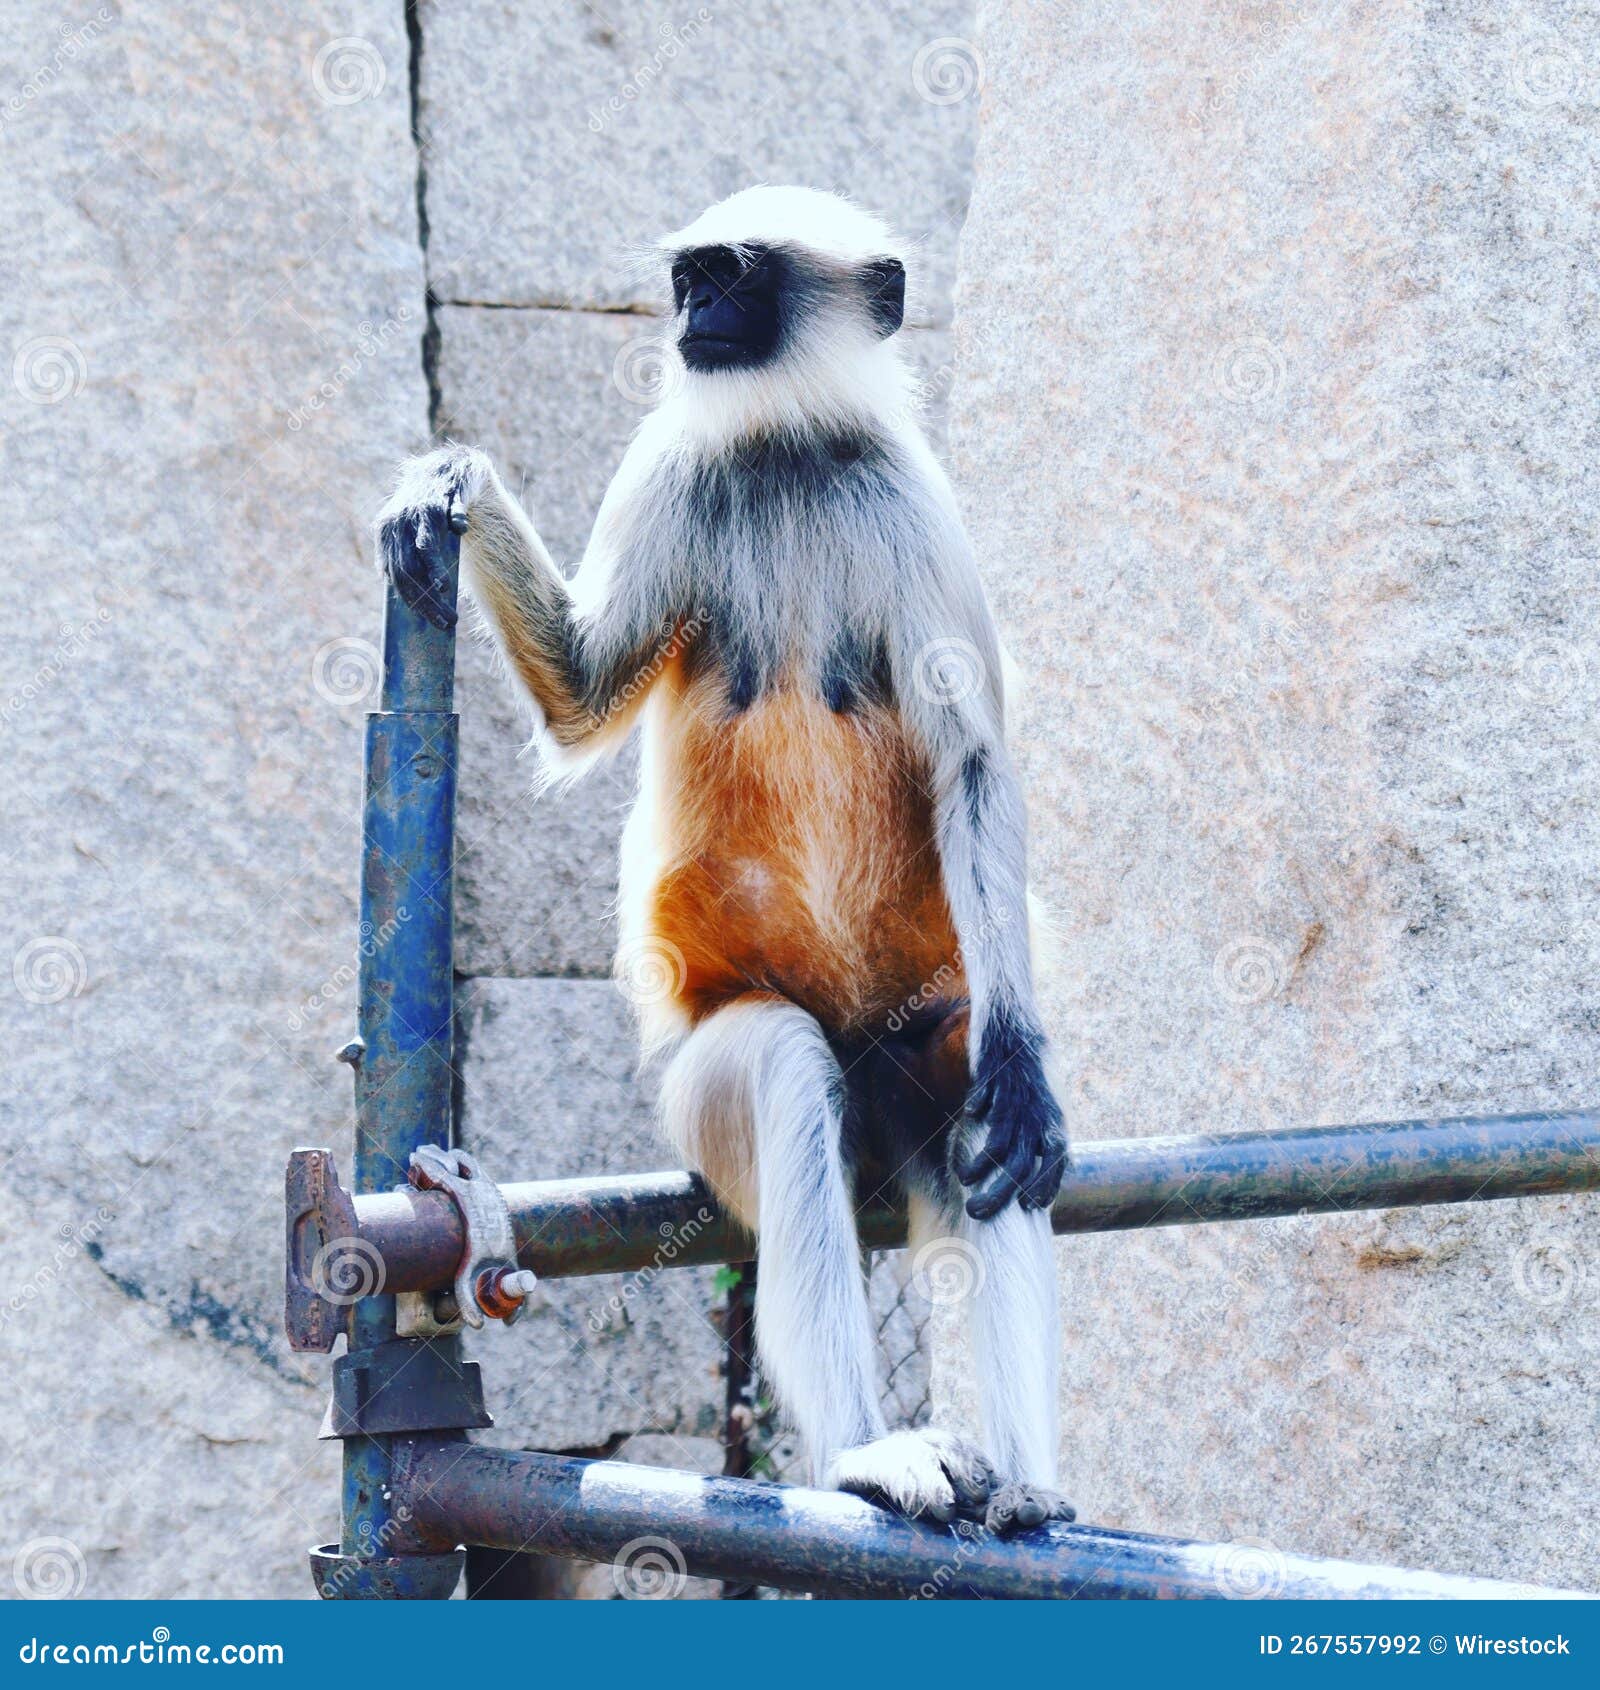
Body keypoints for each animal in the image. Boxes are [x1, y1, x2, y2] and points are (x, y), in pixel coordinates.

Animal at [376, 186, 1072, 1537]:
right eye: (690, 278)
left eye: (734, 279)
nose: (692, 316)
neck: (789, 450)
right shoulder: (677, 466)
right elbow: (583, 693)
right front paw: (448, 480)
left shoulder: (907, 497)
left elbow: (973, 765)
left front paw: (1023, 1064)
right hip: (710, 1085)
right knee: (789, 1073)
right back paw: (868, 1454)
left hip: (918, 1018)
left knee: (979, 1110)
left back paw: (1017, 1481)